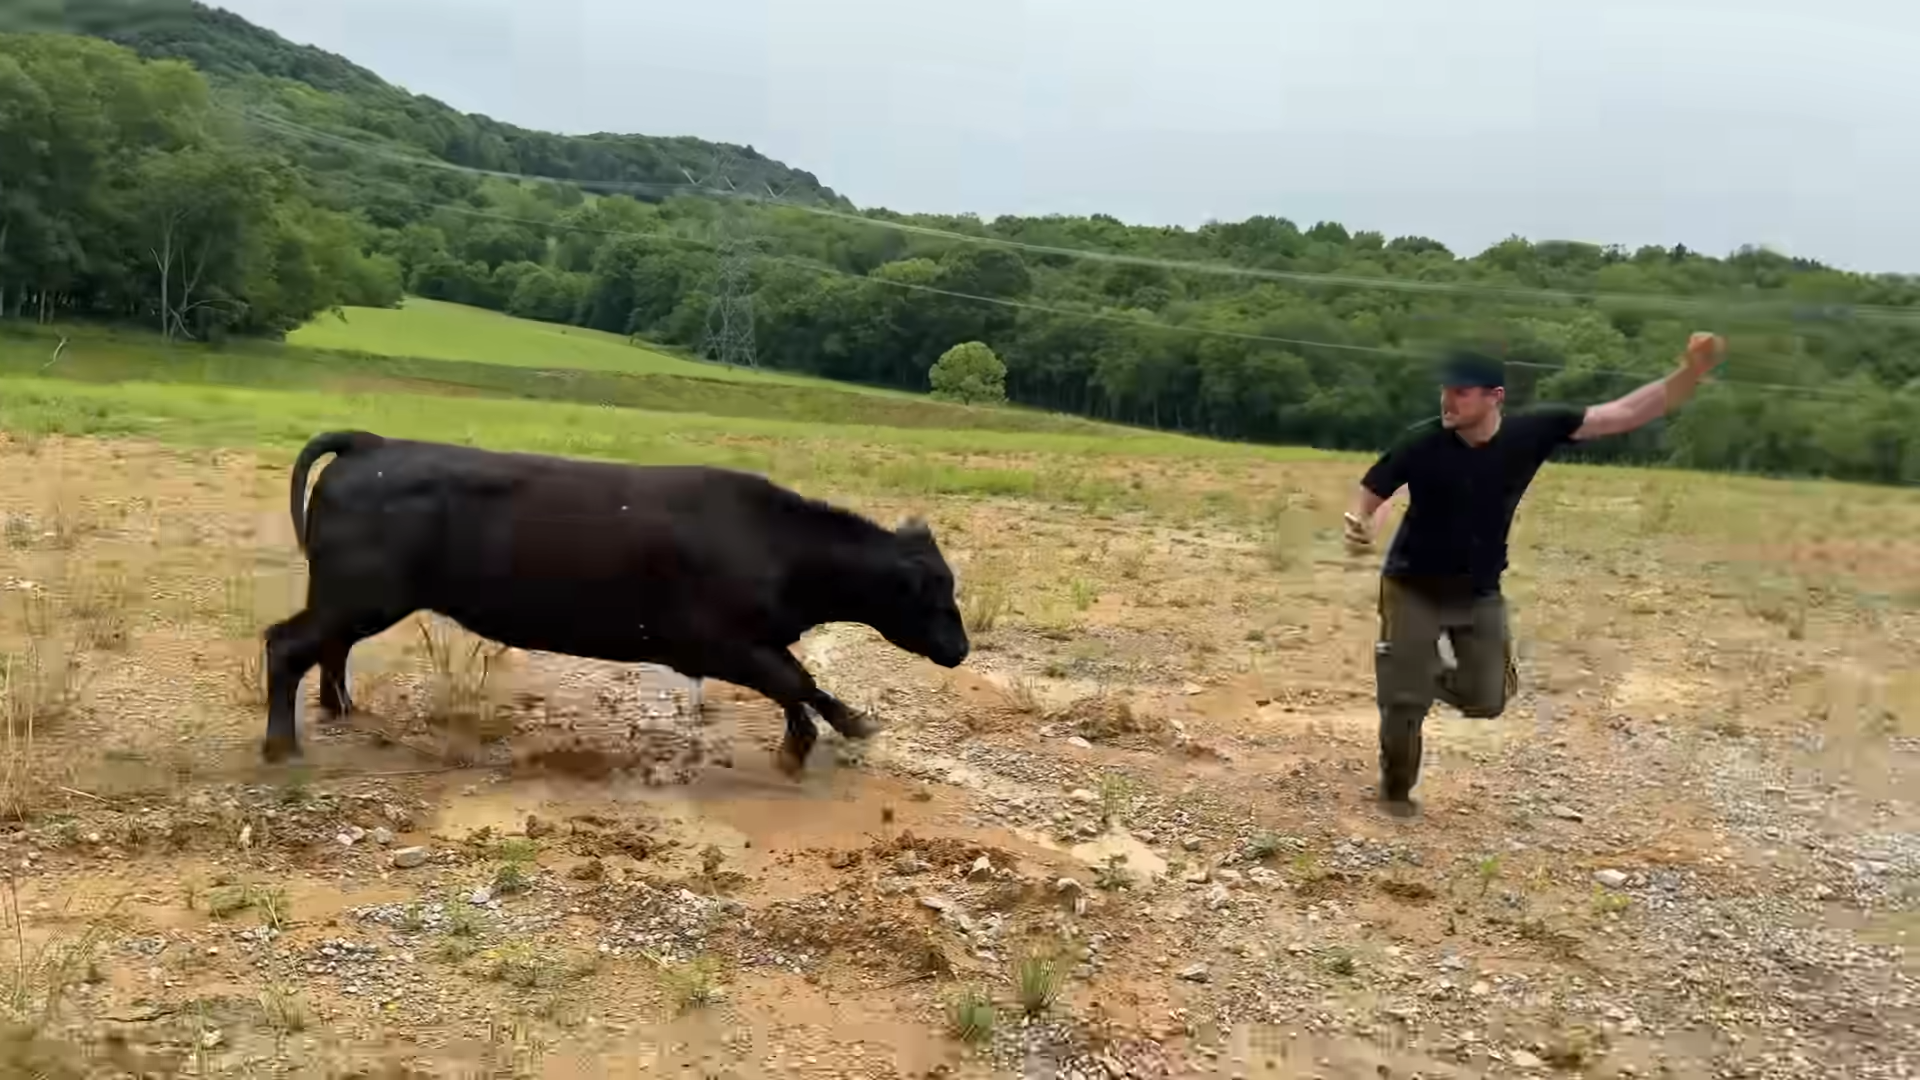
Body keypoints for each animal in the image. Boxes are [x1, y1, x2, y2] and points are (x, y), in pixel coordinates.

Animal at [263, 431, 971, 775]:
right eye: (938, 592)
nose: (961, 650)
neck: (774, 543)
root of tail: (374, 444)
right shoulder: (716, 642)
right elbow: (799, 681)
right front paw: (837, 732)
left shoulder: (742, 644)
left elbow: (795, 684)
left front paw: (812, 740)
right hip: (360, 595)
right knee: (286, 645)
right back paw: (281, 747)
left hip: (355, 599)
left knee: (326, 648)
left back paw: (342, 709)